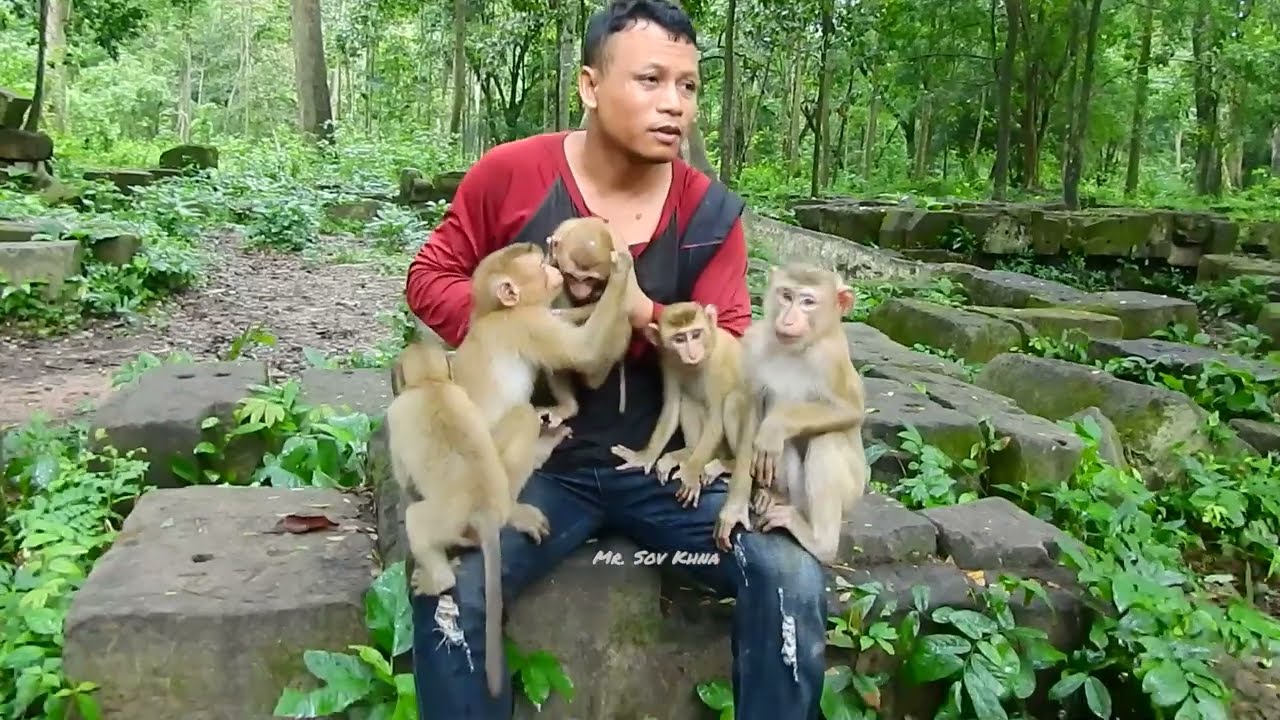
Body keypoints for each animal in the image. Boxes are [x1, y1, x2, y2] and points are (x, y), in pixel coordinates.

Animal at [387, 240, 632, 696]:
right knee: (520, 418)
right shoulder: (523, 323)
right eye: (540, 266)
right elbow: (582, 350)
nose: (554, 268)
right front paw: (623, 275)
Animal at [611, 302, 746, 509]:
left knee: (733, 401)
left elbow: (716, 418)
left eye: (696, 334)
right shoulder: (667, 360)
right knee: (689, 400)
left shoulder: (717, 366)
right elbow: (672, 406)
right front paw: (644, 457)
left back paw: (727, 465)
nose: (692, 353)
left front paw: (690, 474)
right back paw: (686, 453)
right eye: (680, 339)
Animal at [712, 263, 868, 566]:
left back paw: (820, 542)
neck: (796, 350)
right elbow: (751, 405)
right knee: (736, 403)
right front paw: (734, 508)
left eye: (808, 302)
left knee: (827, 440)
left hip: (853, 493)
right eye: (786, 296)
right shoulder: (754, 342)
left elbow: (850, 411)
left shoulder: (831, 357)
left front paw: (777, 424)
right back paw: (768, 493)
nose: (788, 320)